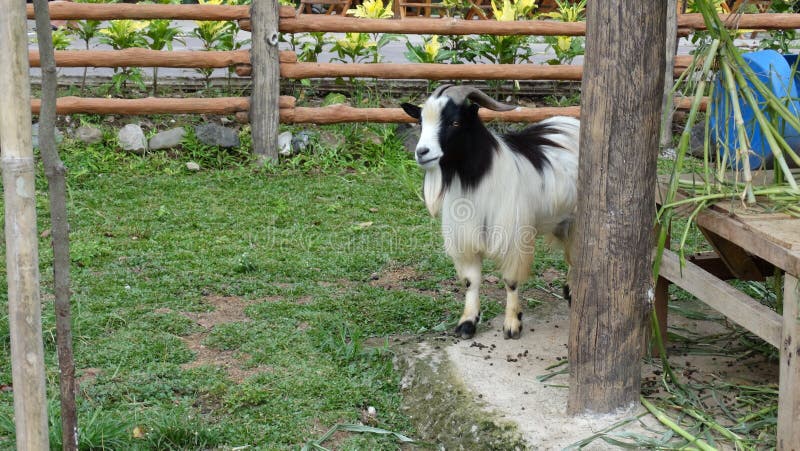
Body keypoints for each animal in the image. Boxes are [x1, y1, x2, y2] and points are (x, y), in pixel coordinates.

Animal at [401, 85, 579, 339]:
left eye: (455, 122)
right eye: (421, 121)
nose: (422, 152)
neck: (475, 179)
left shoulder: (512, 239)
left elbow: (511, 281)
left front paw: (513, 324)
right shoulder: (466, 239)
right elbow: (471, 281)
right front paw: (467, 323)